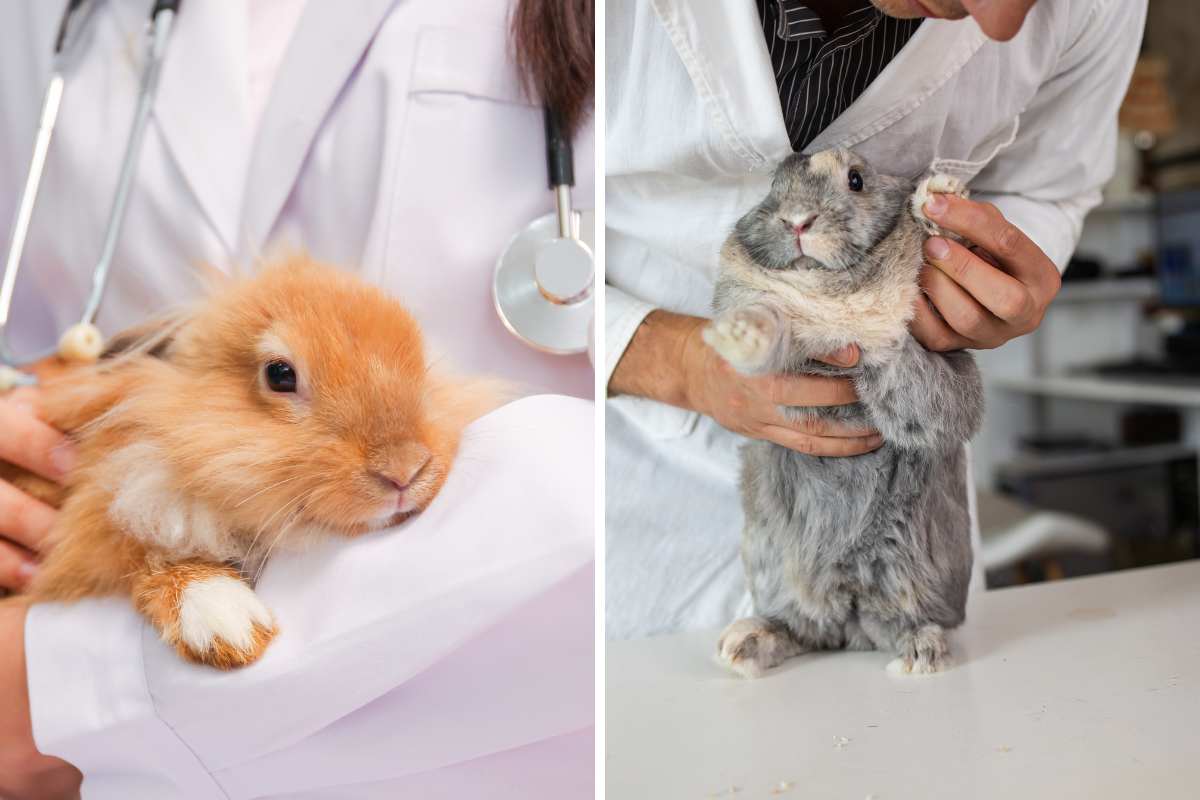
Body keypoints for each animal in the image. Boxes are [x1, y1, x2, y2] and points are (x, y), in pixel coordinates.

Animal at [702, 148, 984, 677]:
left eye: (856, 179)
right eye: (774, 184)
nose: (797, 220)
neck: (829, 285)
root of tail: (848, 618)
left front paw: (939, 194)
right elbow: (769, 321)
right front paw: (738, 335)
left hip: (914, 580)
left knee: (903, 622)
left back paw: (920, 654)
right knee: (801, 628)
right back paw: (742, 645)